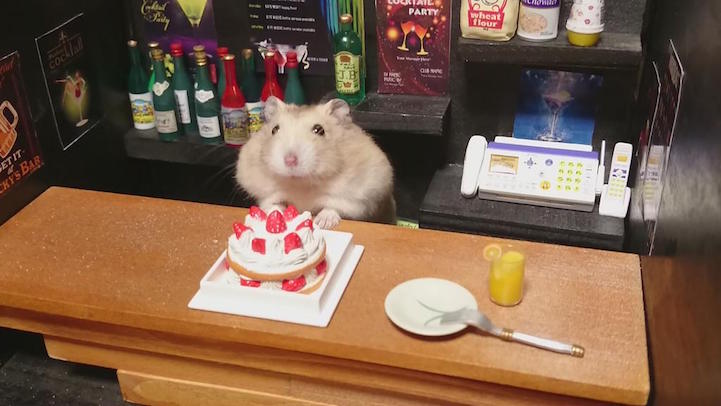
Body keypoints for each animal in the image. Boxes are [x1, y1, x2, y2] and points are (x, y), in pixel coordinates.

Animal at [236, 96, 396, 229]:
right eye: (274, 129)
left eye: (319, 130)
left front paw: (322, 223)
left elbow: (335, 206)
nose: (290, 160)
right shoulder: (265, 194)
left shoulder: (359, 200)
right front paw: (276, 214)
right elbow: (273, 204)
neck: (301, 184)